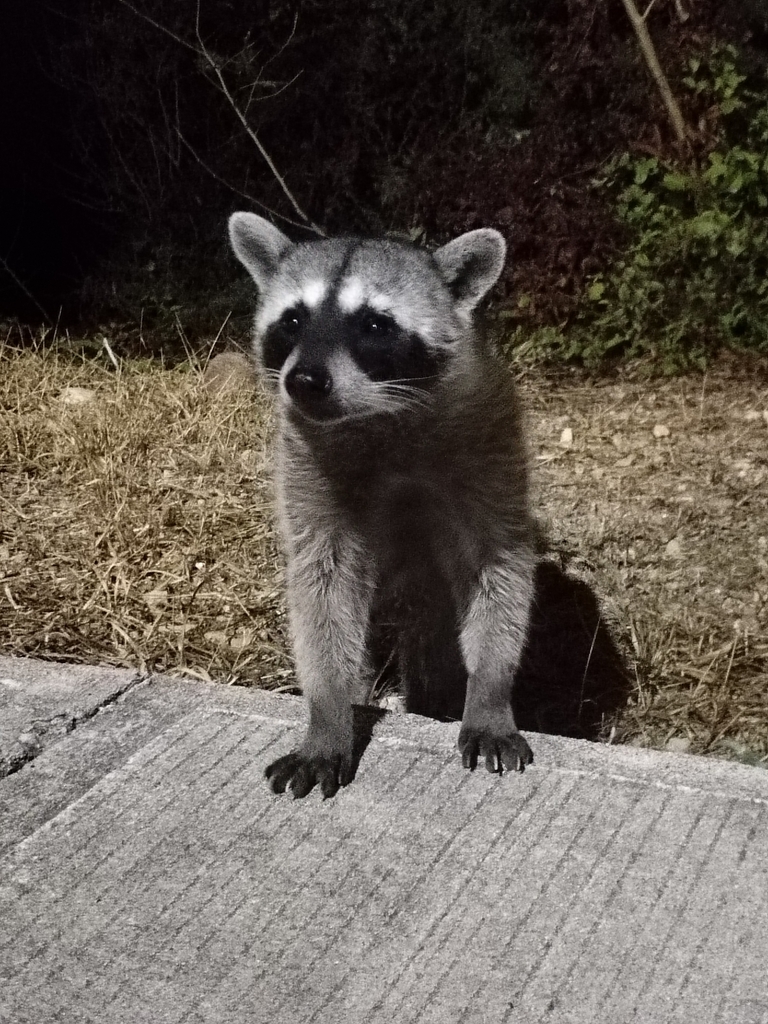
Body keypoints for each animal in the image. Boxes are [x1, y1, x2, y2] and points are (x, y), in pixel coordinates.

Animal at [228, 212, 536, 798]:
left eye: (374, 326)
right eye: (292, 320)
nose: (304, 381)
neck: (379, 415)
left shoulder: (486, 442)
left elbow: (497, 569)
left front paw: (490, 690)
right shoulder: (306, 460)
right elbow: (322, 581)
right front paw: (327, 714)